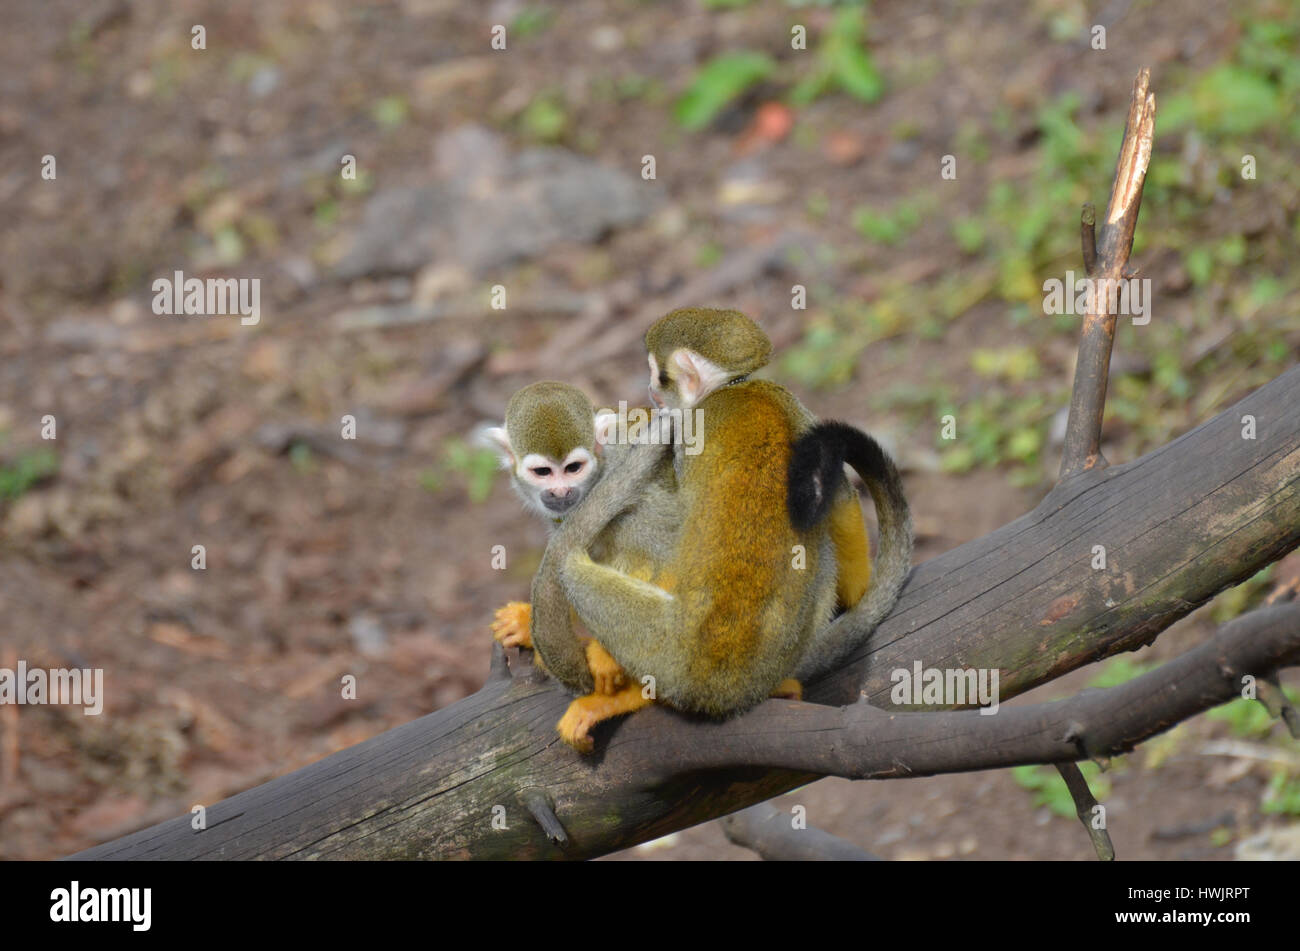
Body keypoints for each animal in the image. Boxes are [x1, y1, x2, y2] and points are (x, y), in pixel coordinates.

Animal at [532, 307, 912, 747]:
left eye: (657, 373)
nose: (650, 389)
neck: (731, 387)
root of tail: (724, 687)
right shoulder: (791, 403)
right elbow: (840, 503)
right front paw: (860, 591)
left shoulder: (690, 433)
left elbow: (675, 527)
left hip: (661, 649)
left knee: (571, 571)